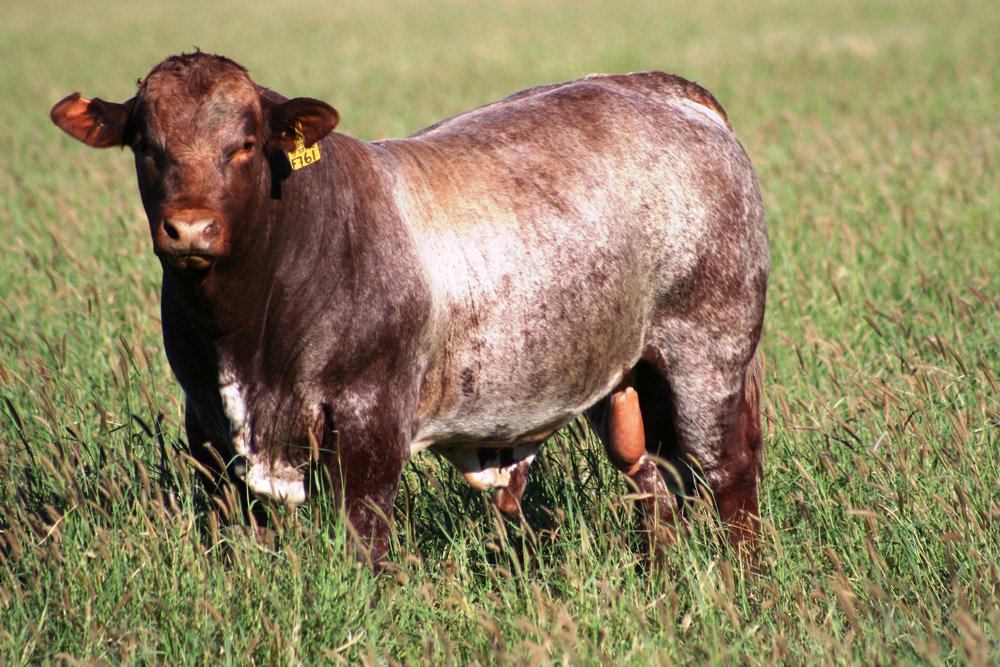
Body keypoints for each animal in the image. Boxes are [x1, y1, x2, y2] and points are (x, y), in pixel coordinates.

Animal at [51, 52, 768, 567]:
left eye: (247, 143)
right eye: (146, 144)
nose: (190, 229)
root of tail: (662, 89)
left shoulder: (371, 424)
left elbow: (363, 543)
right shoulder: (208, 426)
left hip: (708, 357)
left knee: (728, 476)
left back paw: (744, 588)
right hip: (623, 379)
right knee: (655, 481)